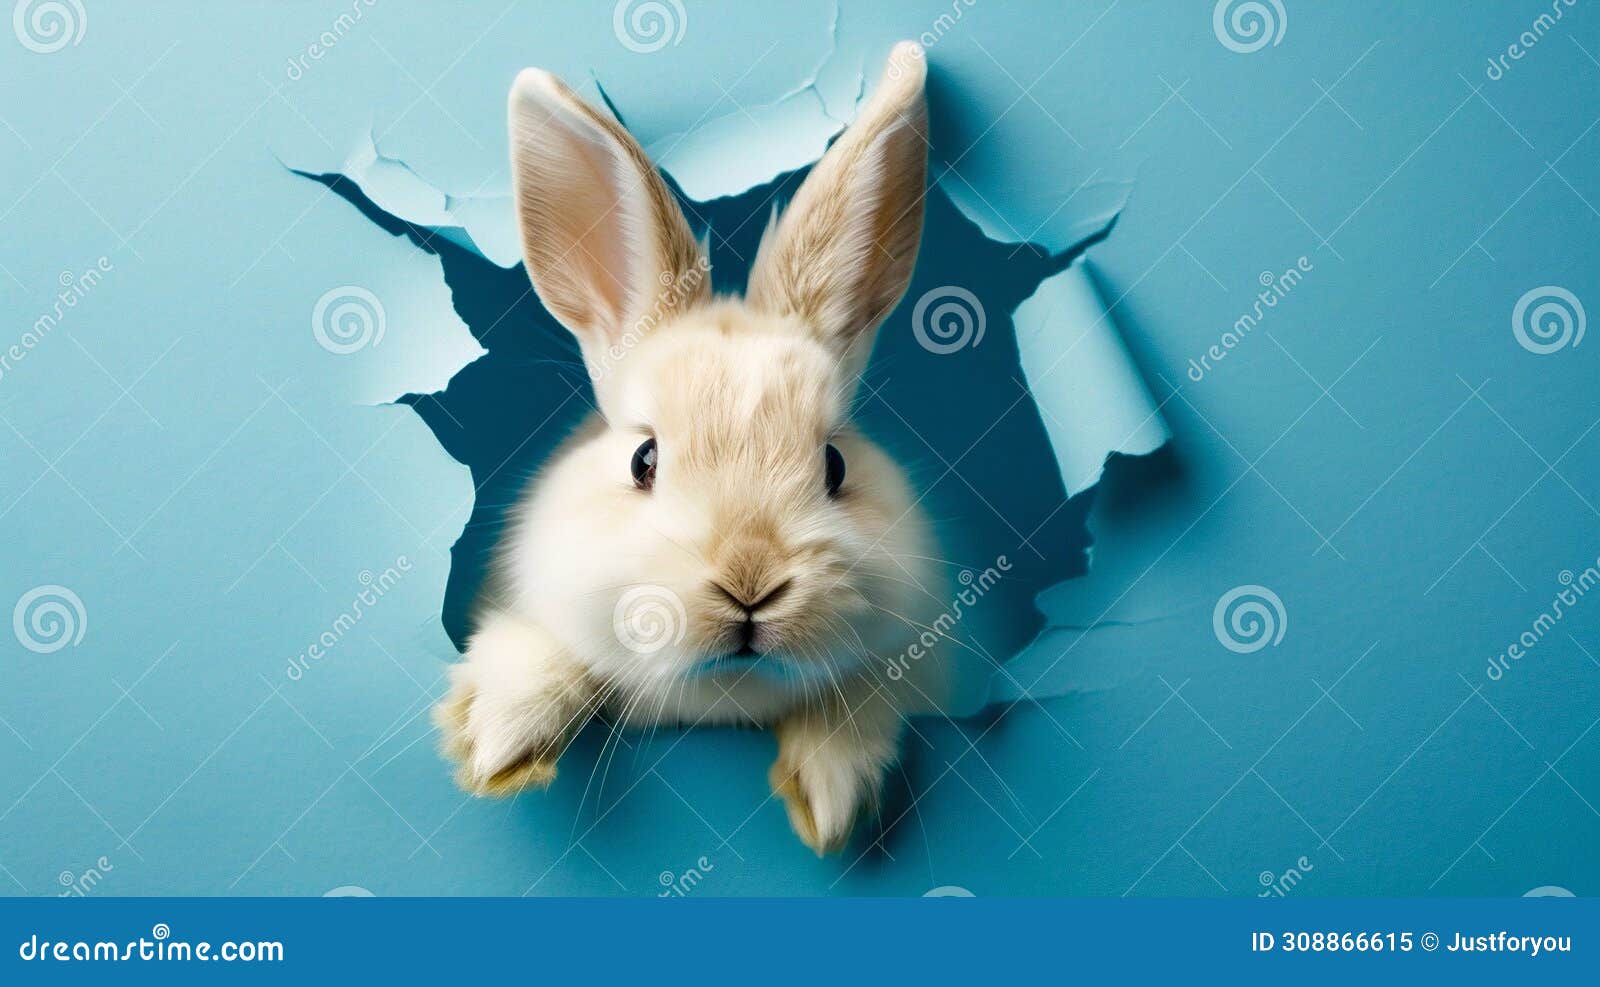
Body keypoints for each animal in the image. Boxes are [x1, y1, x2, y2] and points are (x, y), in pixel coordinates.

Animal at [433, 42, 945, 856]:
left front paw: (829, 796)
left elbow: (865, 693)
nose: (749, 582)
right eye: (643, 460)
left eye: (834, 464)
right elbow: (546, 652)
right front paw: (498, 738)